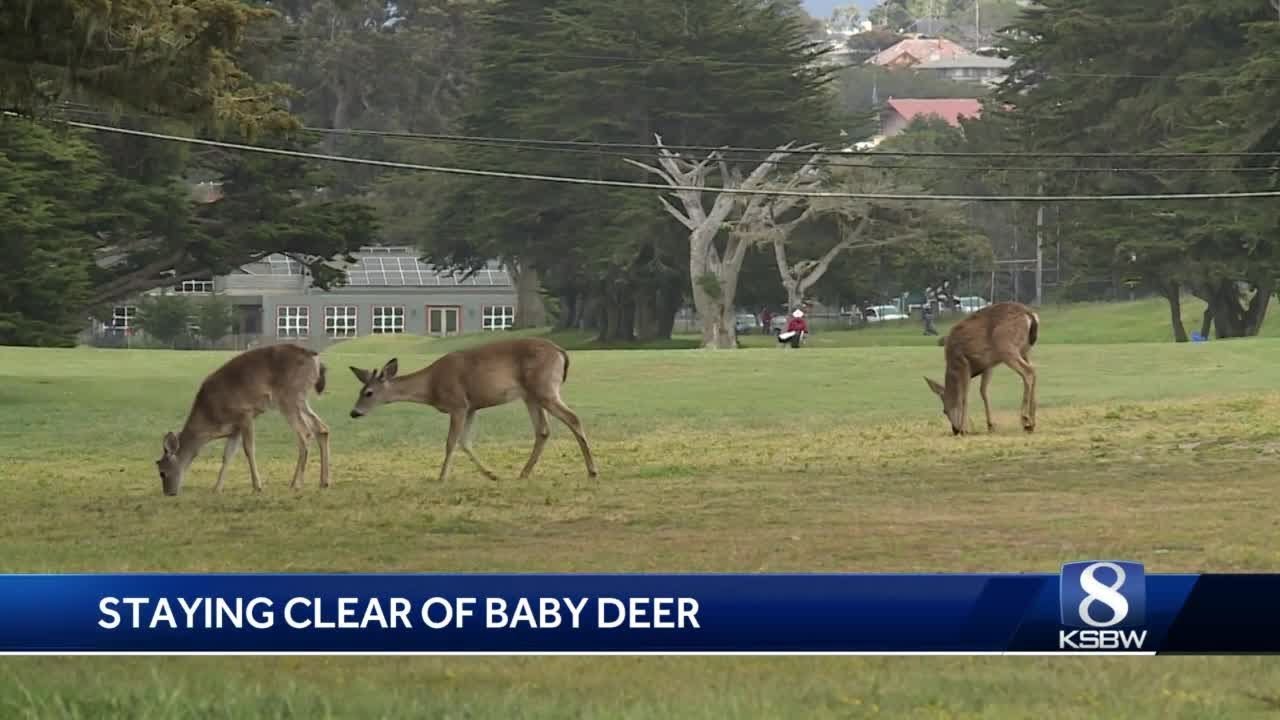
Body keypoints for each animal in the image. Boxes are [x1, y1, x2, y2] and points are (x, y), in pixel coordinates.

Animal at [156, 343, 330, 496]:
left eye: (162, 473)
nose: (169, 493)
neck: (211, 420)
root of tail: (315, 358)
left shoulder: (245, 414)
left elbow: (248, 449)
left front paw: (257, 486)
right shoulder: (234, 430)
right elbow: (227, 455)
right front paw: (217, 488)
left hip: (288, 397)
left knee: (305, 433)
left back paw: (297, 483)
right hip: (300, 399)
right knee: (321, 428)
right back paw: (323, 482)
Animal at [347, 337, 598, 483]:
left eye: (368, 393)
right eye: (360, 390)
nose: (354, 413)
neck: (431, 386)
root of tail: (561, 352)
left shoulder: (458, 404)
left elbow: (451, 442)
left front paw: (441, 477)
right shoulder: (471, 407)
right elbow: (465, 441)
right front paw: (492, 474)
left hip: (545, 388)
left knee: (573, 418)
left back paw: (592, 470)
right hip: (531, 395)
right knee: (543, 430)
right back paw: (523, 473)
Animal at [924, 301, 1039, 436]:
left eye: (944, 410)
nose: (955, 430)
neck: (952, 365)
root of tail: (1030, 314)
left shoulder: (963, 362)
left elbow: (964, 396)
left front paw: (964, 429)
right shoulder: (988, 365)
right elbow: (983, 391)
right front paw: (990, 425)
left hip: (1006, 347)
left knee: (1028, 372)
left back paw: (1025, 419)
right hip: (1025, 350)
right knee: (1034, 370)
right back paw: (1031, 423)